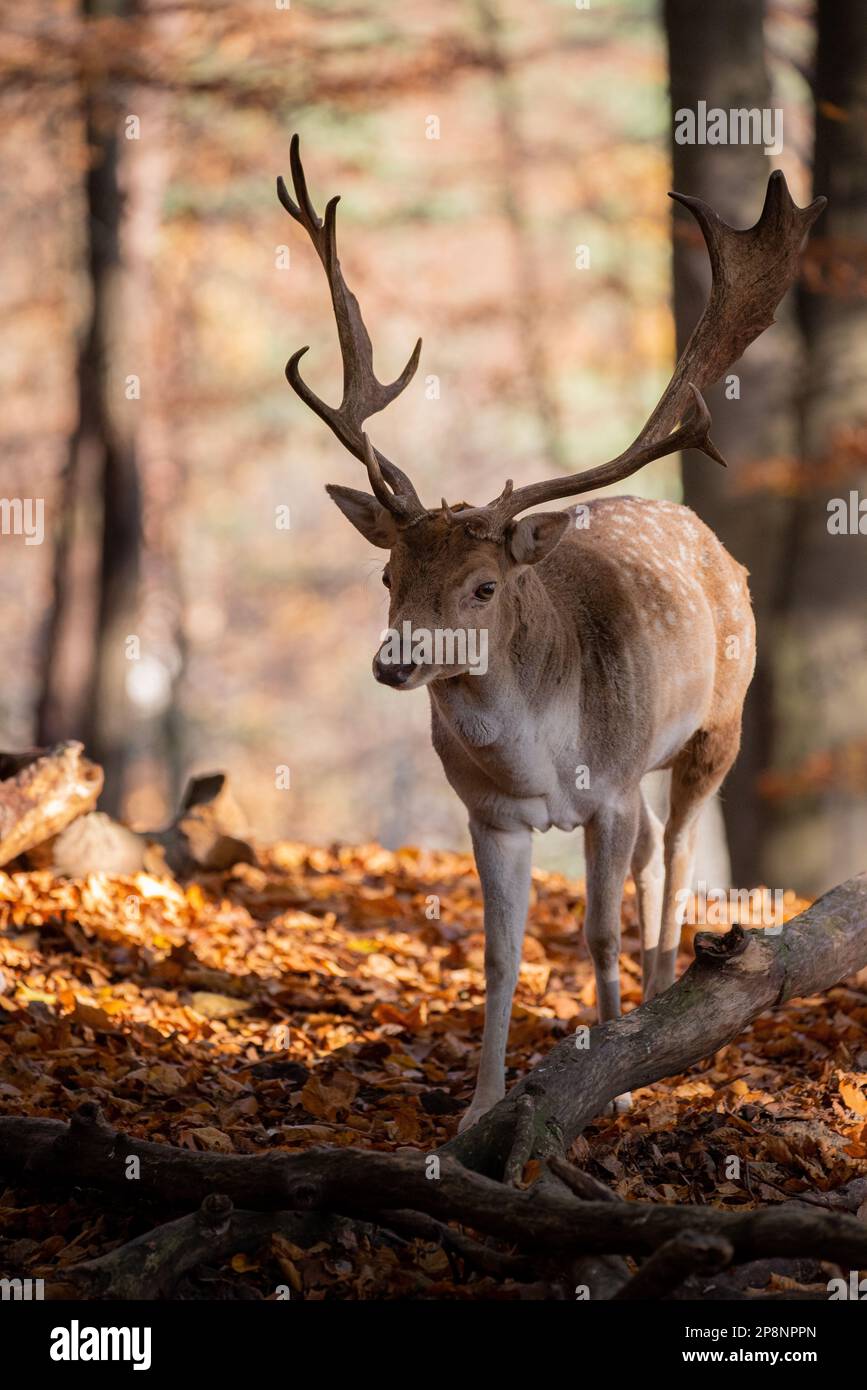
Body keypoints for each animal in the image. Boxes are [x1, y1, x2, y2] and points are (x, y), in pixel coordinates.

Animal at [277, 136, 825, 1132]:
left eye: (484, 586)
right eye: (388, 576)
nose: (396, 663)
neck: (536, 756)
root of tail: (701, 531)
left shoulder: (604, 789)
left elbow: (598, 930)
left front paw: (612, 1078)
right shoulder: (488, 812)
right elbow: (500, 955)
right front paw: (481, 1107)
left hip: (715, 726)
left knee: (676, 861)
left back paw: (664, 1009)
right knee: (652, 855)